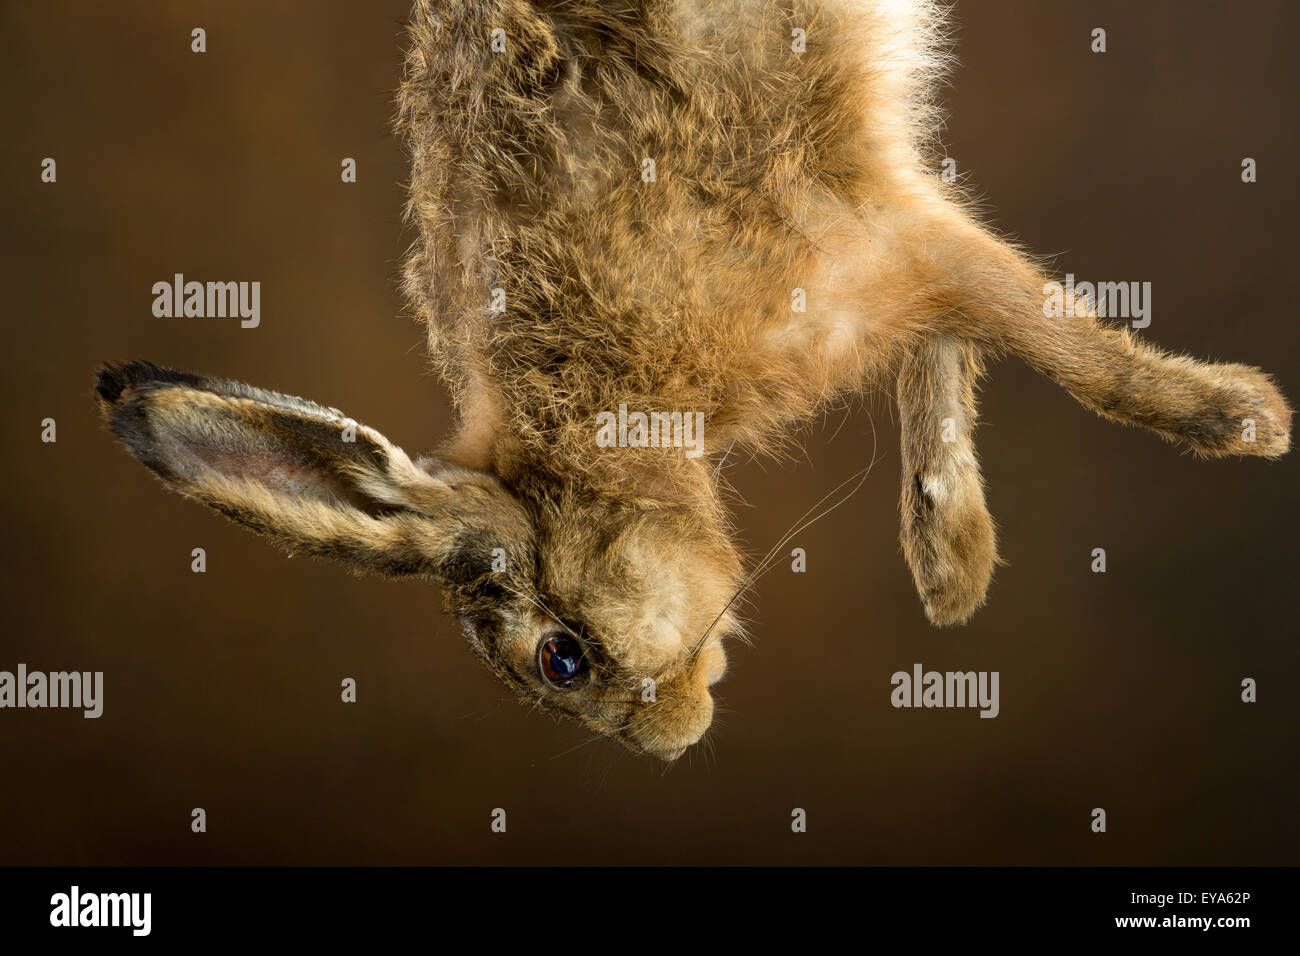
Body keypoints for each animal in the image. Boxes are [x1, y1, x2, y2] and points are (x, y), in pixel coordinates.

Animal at [96, 0, 1291, 761]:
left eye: (560, 661)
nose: (669, 741)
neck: (593, 427)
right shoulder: (894, 227)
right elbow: (952, 343)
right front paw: (952, 559)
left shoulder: (884, 246)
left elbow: (1051, 343)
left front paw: (1242, 419)